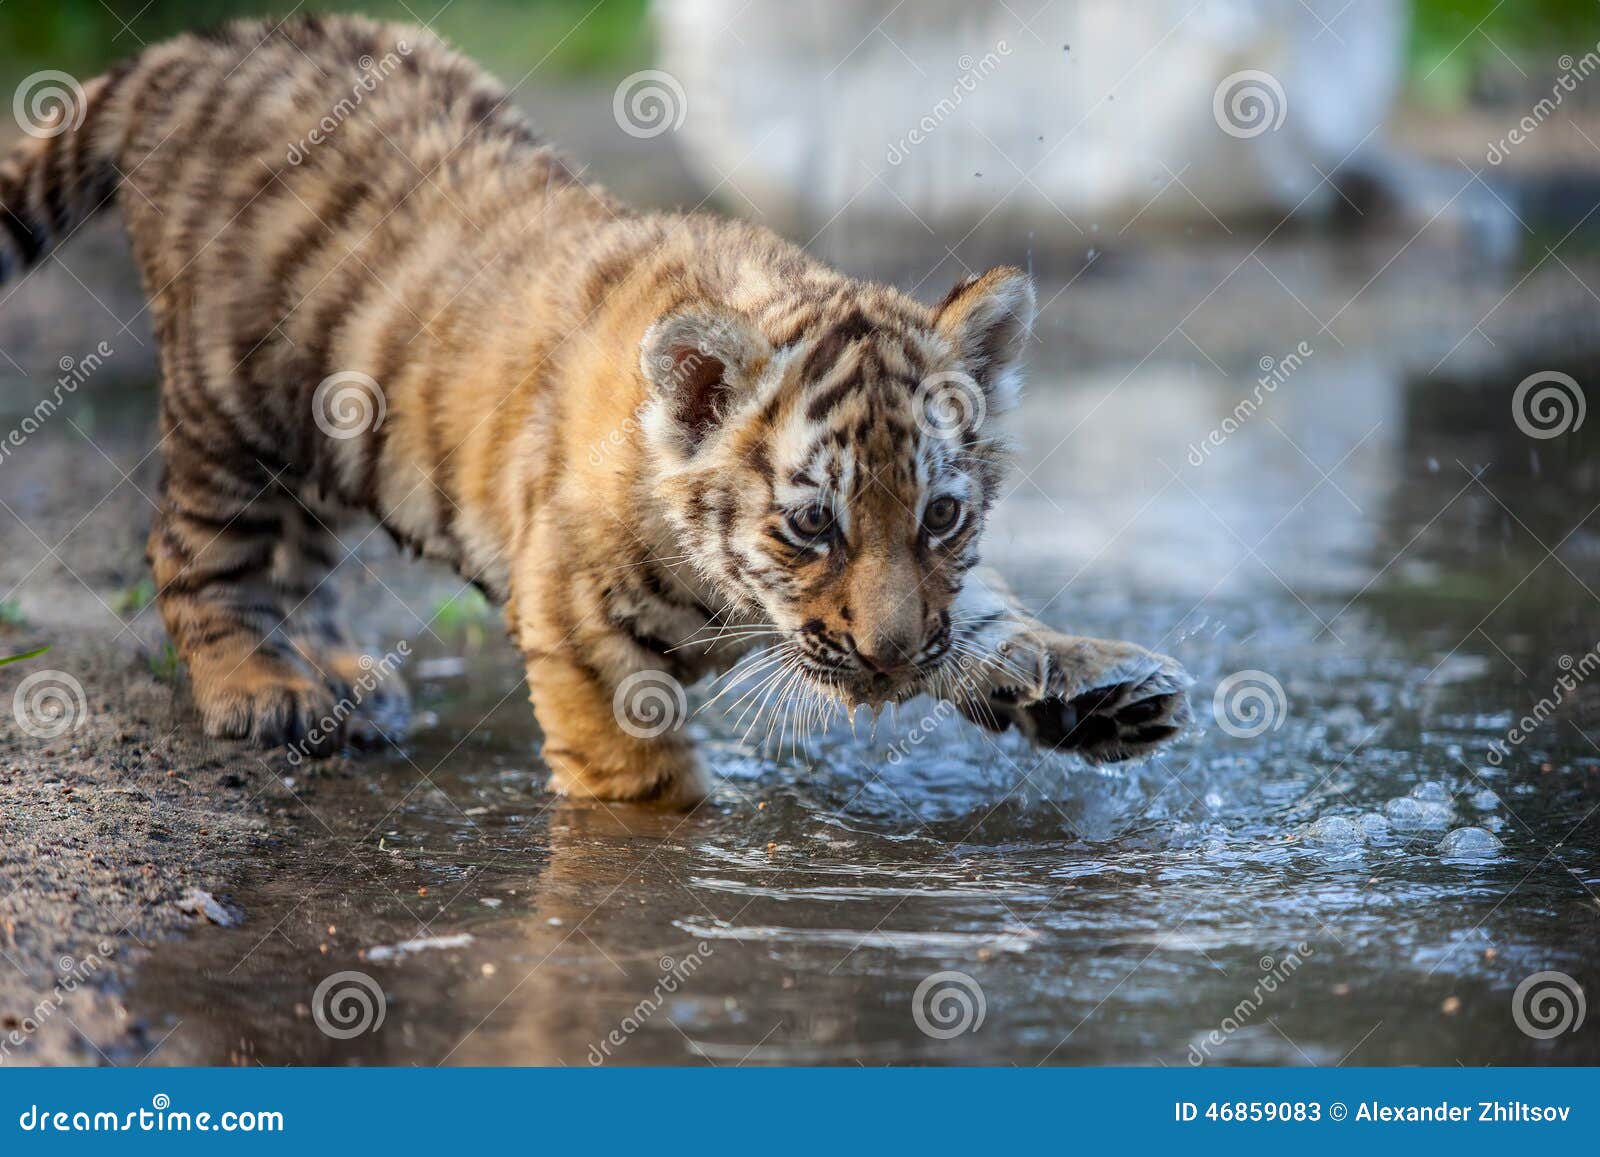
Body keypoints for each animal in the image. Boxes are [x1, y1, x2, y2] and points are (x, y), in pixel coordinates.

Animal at [0, 15, 1190, 806]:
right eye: (812, 525)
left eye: (941, 516)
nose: (894, 661)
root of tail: (200, 50)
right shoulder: (576, 620)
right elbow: (638, 777)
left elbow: (985, 608)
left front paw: (1094, 686)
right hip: (233, 408)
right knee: (196, 553)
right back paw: (262, 686)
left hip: (331, 430)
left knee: (301, 556)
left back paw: (336, 679)